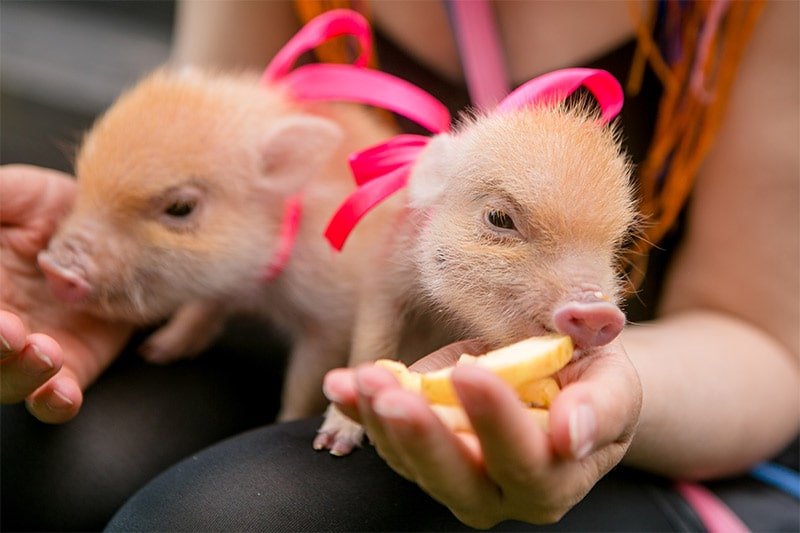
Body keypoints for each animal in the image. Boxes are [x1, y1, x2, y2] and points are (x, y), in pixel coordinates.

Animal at [36, 67, 403, 420]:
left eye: (181, 207)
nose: (53, 268)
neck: (260, 289)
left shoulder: (333, 319)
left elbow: (306, 382)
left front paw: (283, 422)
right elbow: (204, 307)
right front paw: (156, 352)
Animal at [315, 97, 637, 454]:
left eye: (616, 245)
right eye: (499, 218)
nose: (598, 310)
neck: (446, 317)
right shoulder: (384, 277)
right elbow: (372, 342)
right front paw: (332, 446)